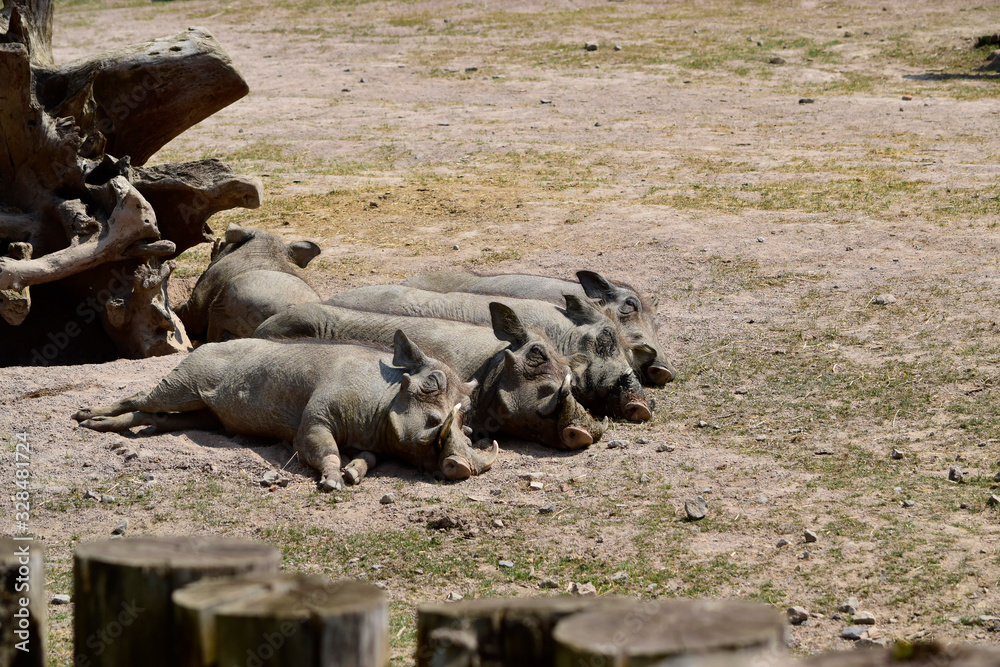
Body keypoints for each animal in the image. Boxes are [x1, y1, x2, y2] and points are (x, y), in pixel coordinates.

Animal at [73, 332, 498, 490]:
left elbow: (368, 459)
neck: (383, 399)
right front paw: (332, 482)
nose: (464, 468)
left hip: (203, 413)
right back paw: (87, 418)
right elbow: (324, 450)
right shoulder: (314, 422)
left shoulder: (373, 443)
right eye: (431, 387)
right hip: (181, 385)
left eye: (467, 417)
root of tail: (203, 344)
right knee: (140, 398)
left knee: (155, 419)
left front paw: (352, 475)